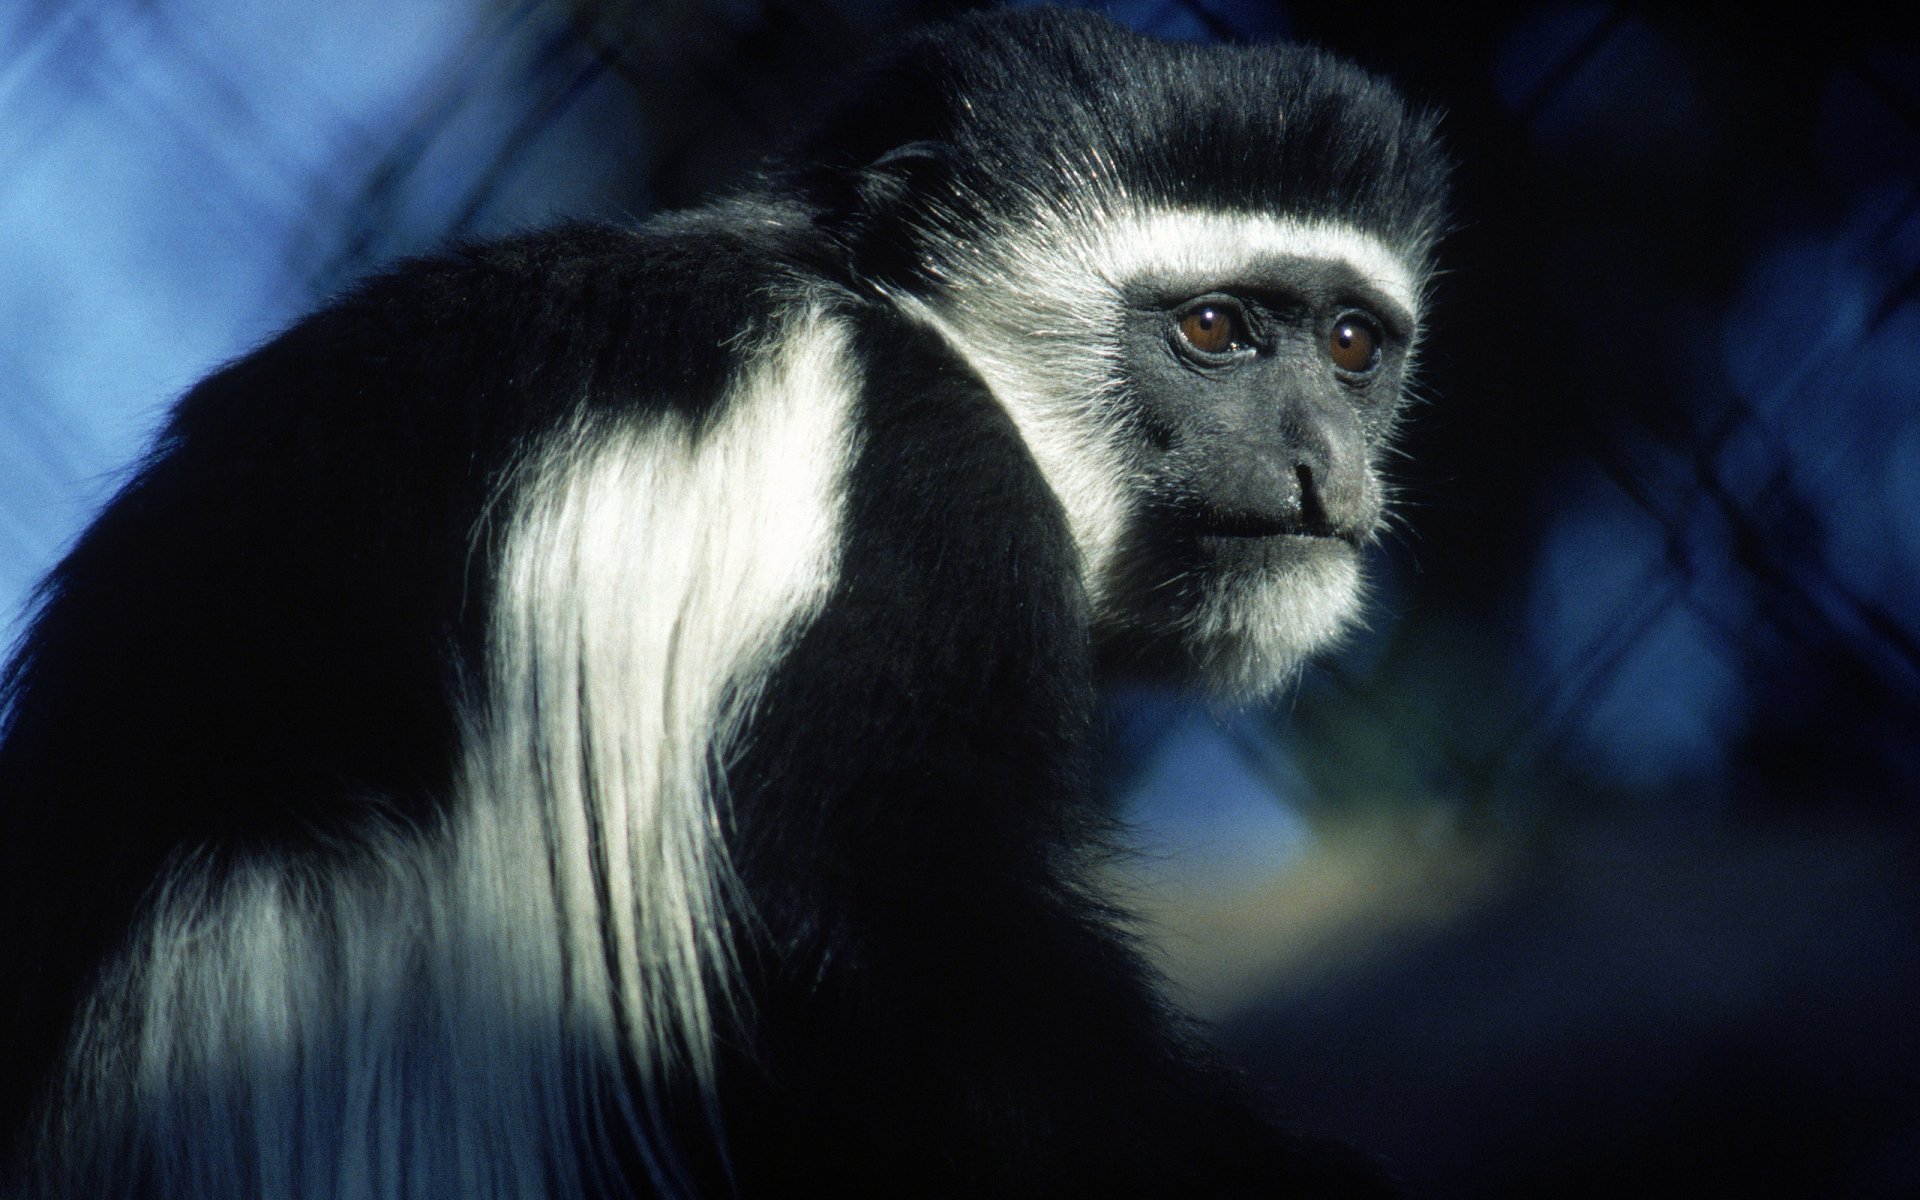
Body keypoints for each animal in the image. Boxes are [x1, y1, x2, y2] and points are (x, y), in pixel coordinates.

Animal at [0, 8, 1445, 1197]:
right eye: (1213, 330)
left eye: (1353, 345)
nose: (1325, 466)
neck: (895, 315)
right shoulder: (908, 484)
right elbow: (884, 951)